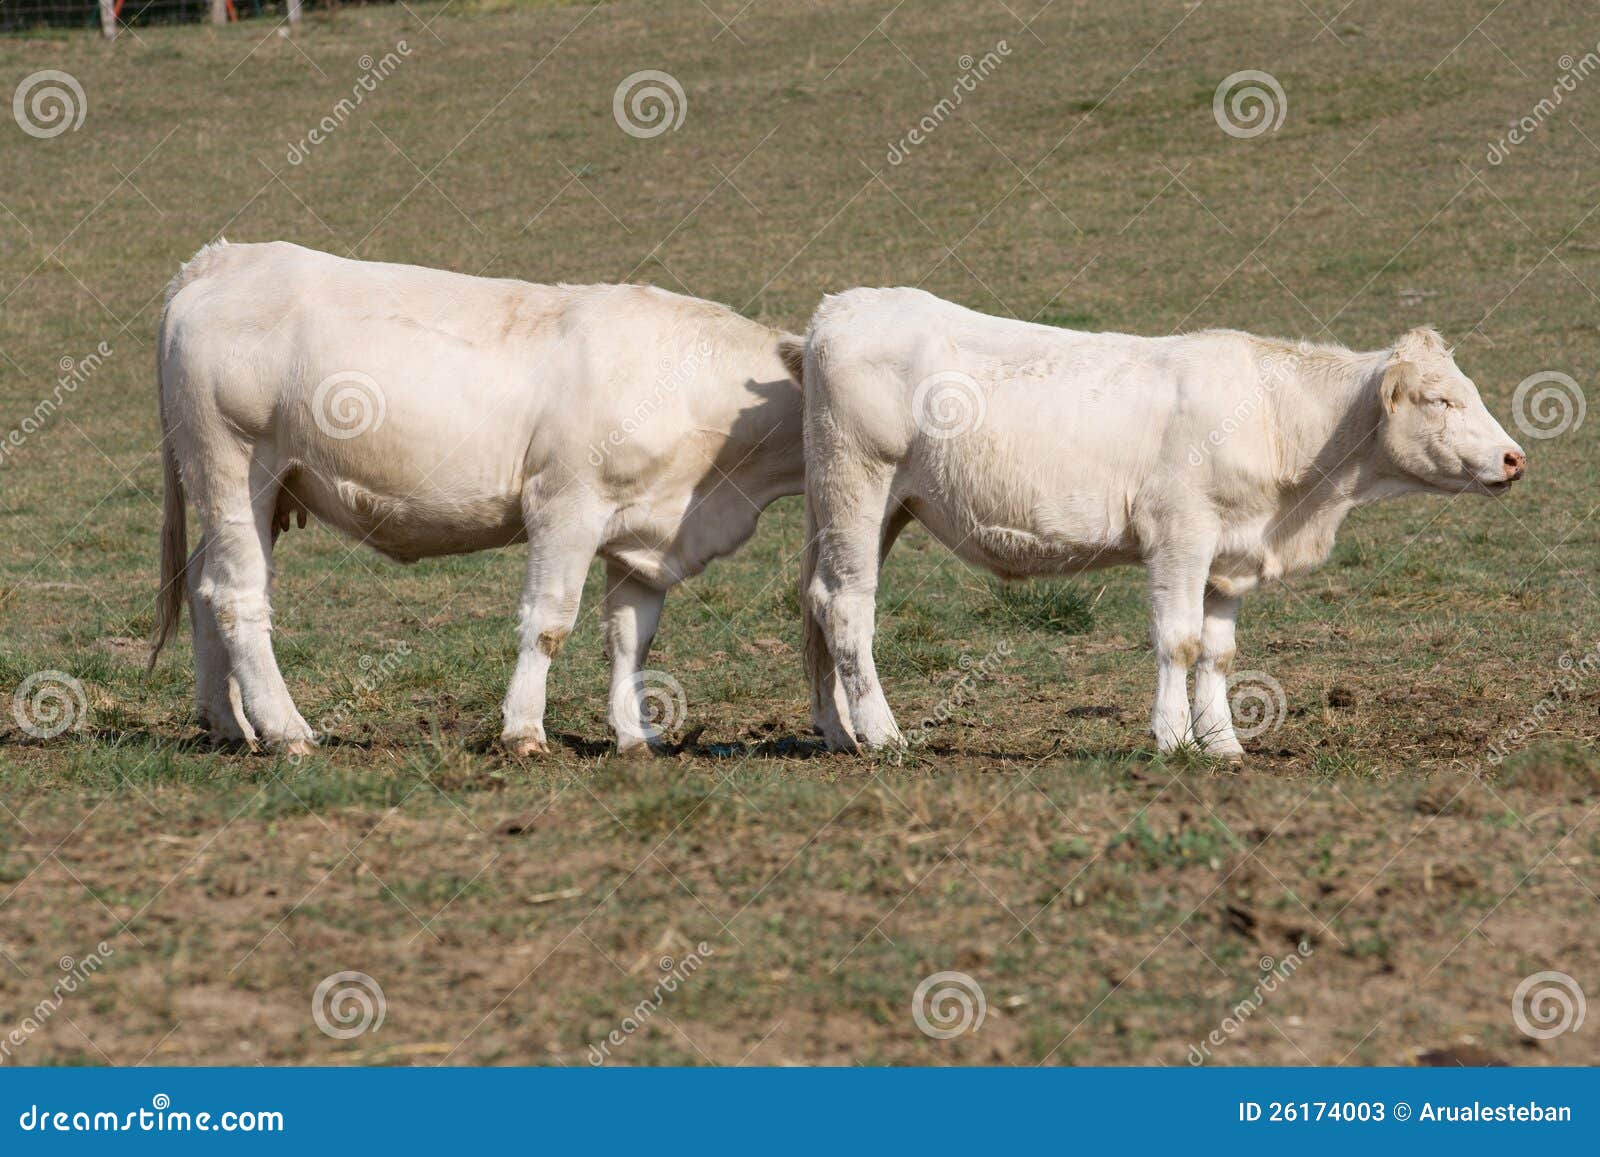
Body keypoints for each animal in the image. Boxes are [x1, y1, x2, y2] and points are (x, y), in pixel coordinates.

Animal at [149, 240, 806, 756]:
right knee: (236, 597)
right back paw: (287, 731)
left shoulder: (643, 533)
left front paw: (635, 737)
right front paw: (524, 732)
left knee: (204, 587)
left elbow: (630, 638)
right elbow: (549, 623)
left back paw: (226, 724)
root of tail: (222, 258)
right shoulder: (565, 505)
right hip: (232, 469)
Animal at [796, 288, 1527, 759]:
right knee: (849, 607)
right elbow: (1178, 640)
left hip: (868, 508)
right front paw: (1173, 739)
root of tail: (844, 305)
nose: (1514, 457)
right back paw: (882, 734)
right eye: (1441, 398)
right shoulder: (1182, 535)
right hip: (858, 486)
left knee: (815, 602)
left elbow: (1218, 650)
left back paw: (837, 730)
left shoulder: (1233, 554)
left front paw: (1223, 742)